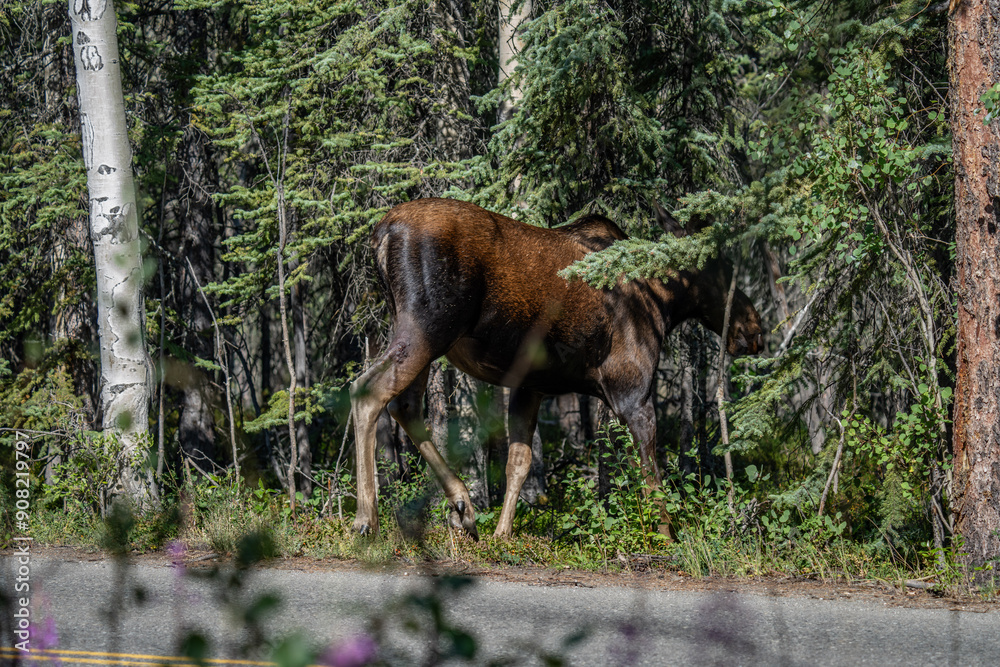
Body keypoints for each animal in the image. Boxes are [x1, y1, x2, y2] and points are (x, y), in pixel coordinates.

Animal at [350, 198, 763, 540]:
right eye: (723, 266)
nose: (754, 329)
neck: (664, 303)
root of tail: (382, 234)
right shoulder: (633, 393)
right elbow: (651, 475)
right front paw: (668, 537)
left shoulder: (530, 386)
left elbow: (519, 461)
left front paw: (503, 533)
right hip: (430, 327)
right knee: (368, 391)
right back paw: (367, 519)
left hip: (418, 331)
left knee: (403, 404)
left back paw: (462, 505)